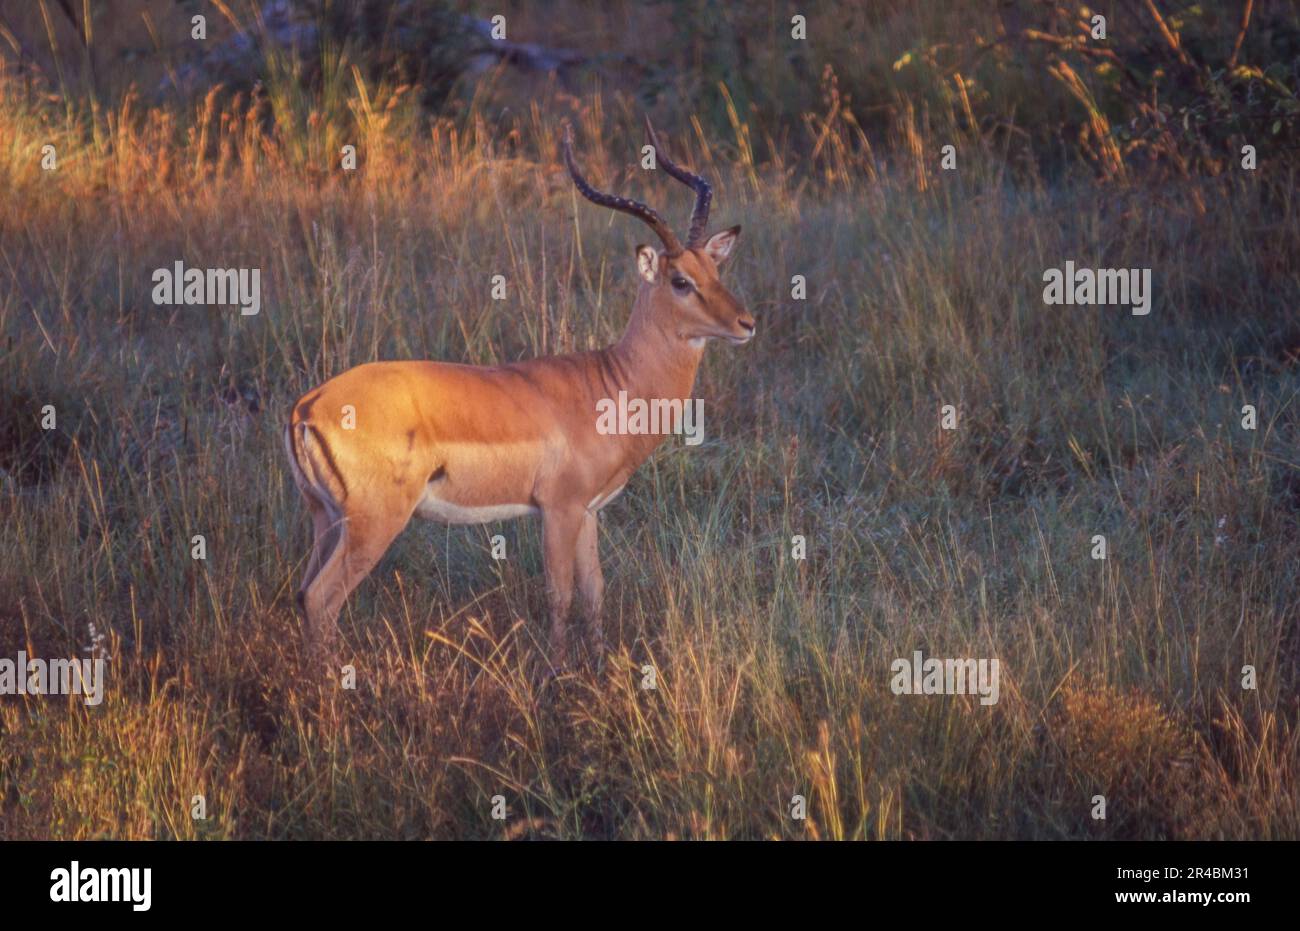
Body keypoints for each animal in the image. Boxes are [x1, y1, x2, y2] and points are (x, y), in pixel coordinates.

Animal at [284, 118, 754, 665]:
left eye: (715, 272)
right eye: (680, 281)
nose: (746, 323)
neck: (612, 383)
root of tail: (306, 407)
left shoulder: (588, 513)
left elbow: (594, 591)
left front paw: (598, 662)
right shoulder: (558, 510)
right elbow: (559, 594)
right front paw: (557, 672)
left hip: (324, 518)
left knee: (303, 593)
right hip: (372, 524)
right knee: (322, 599)